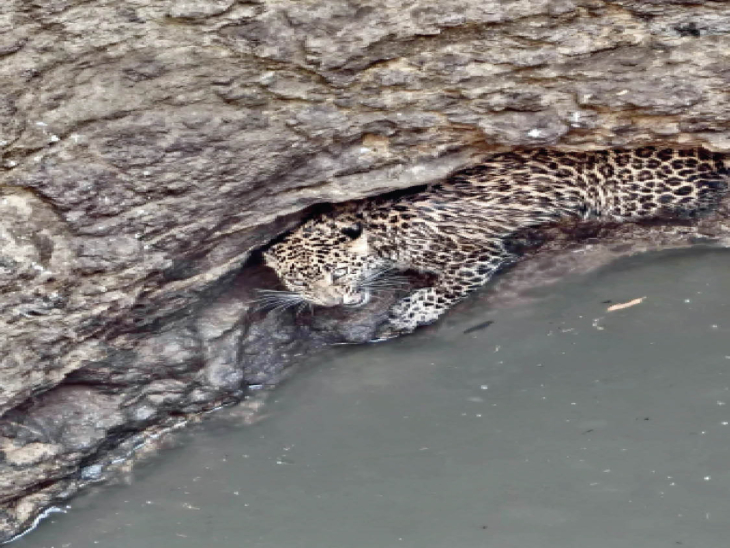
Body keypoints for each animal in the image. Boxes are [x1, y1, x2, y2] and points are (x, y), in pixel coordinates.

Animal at [263, 147, 729, 339]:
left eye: (335, 273)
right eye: (301, 283)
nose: (332, 303)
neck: (377, 228)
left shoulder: (473, 255)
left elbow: (446, 288)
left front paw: (410, 313)